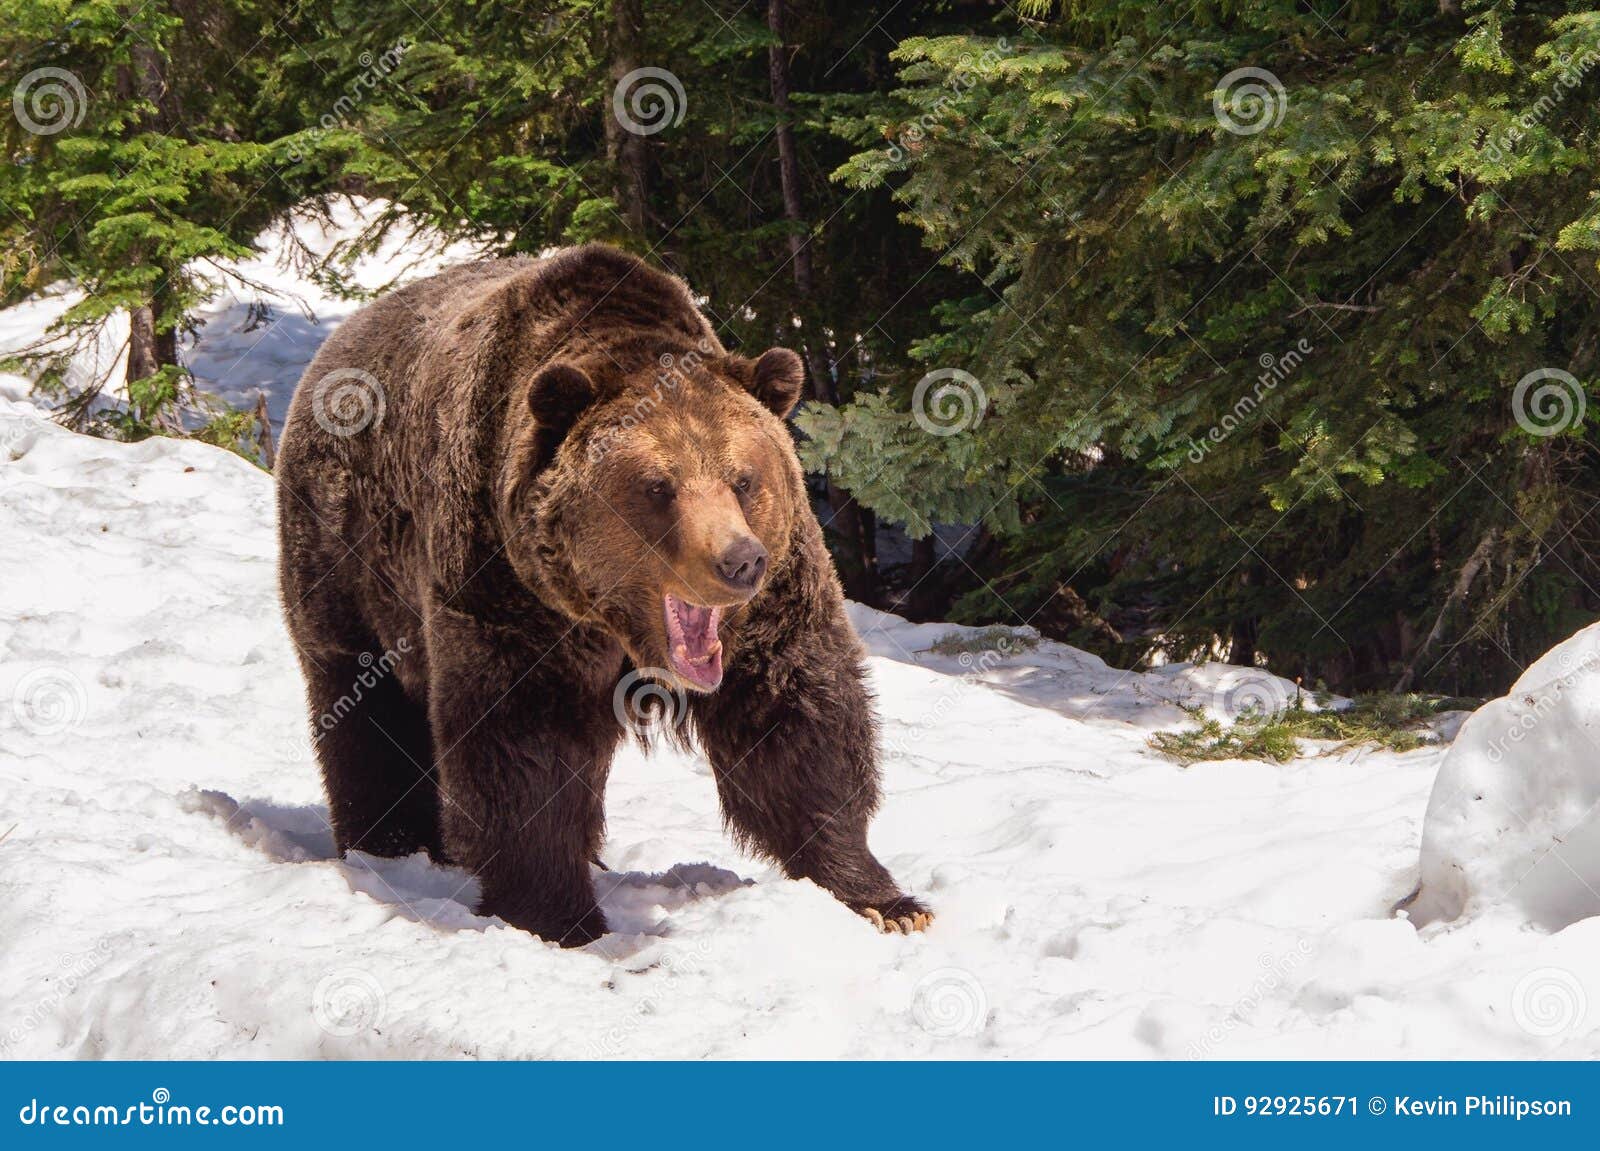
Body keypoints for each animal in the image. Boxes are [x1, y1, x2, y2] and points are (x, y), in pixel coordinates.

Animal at [275, 244, 931, 946]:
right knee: (362, 703)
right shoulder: (508, 590)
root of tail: (340, 338)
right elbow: (525, 750)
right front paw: (558, 916)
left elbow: (799, 723)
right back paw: (390, 844)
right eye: (658, 487)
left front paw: (884, 899)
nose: (739, 561)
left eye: (744, 478)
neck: (619, 626)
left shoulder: (772, 608)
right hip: (346, 554)